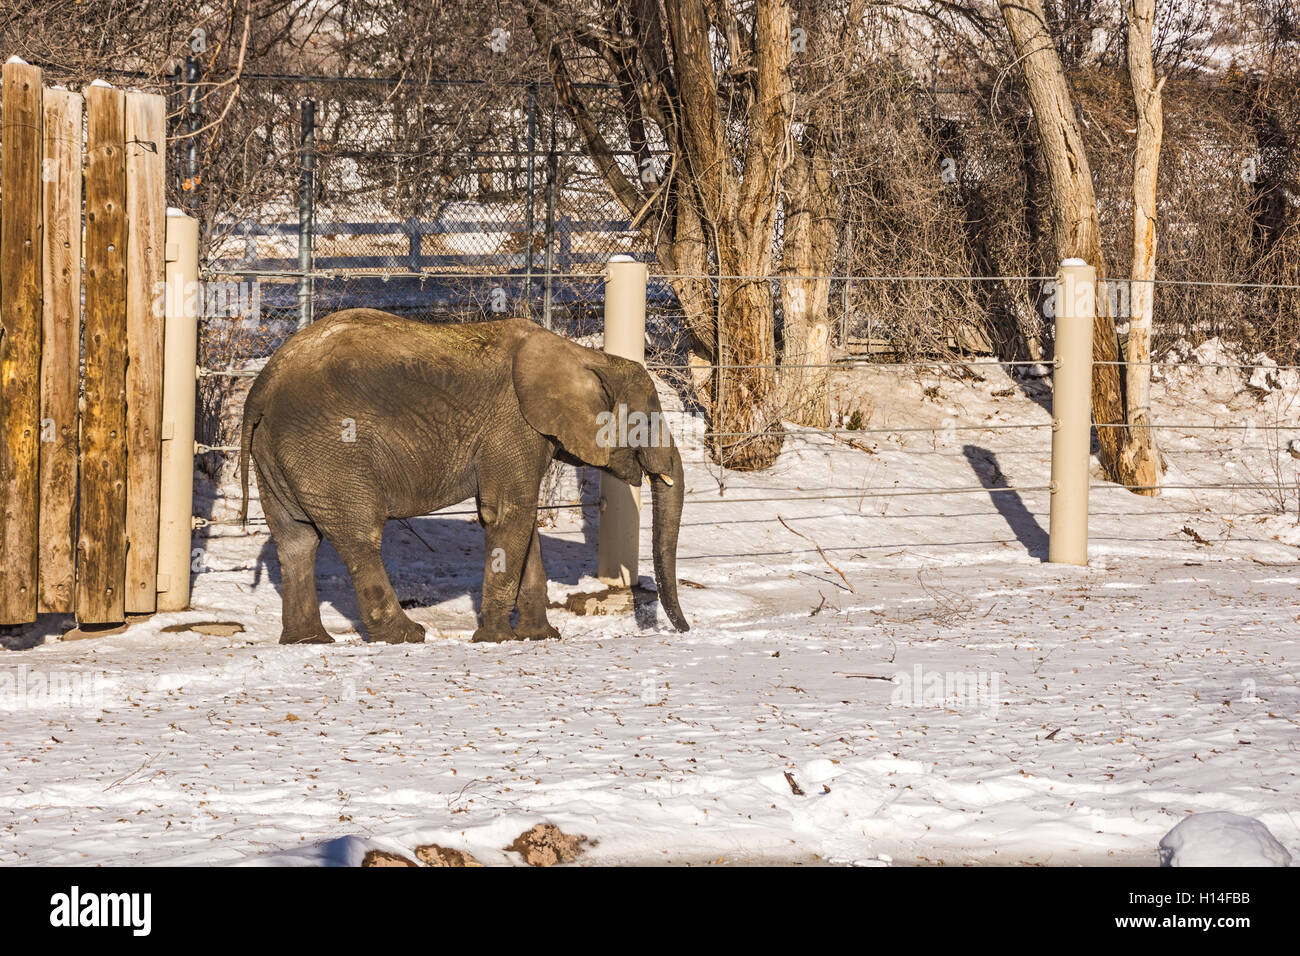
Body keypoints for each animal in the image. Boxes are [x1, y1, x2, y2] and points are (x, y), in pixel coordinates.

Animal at [238, 308, 688, 645]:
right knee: (359, 535)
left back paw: (308, 641)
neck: (585, 355)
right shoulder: (513, 425)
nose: (683, 630)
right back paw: (407, 635)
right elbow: (507, 514)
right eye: (646, 420)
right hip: (328, 450)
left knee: (296, 541)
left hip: (277, 455)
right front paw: (496, 639)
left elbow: (522, 520)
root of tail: (261, 388)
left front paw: (540, 636)